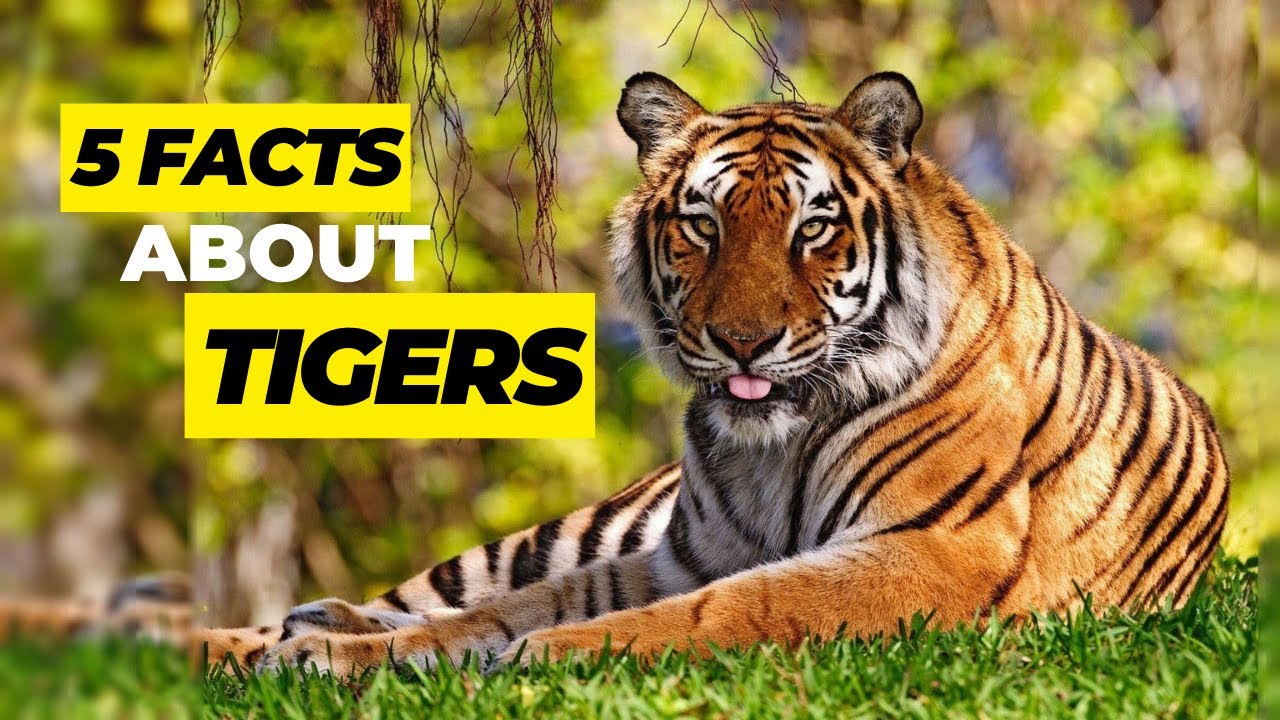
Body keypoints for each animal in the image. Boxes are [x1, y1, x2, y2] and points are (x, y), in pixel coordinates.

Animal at [83, 71, 1235, 675]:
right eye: (703, 224)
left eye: (814, 228)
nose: (742, 343)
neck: (776, 447)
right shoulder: (679, 552)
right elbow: (510, 610)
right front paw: (354, 655)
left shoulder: (930, 554)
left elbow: (709, 616)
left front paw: (525, 661)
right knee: (400, 596)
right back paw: (265, 632)